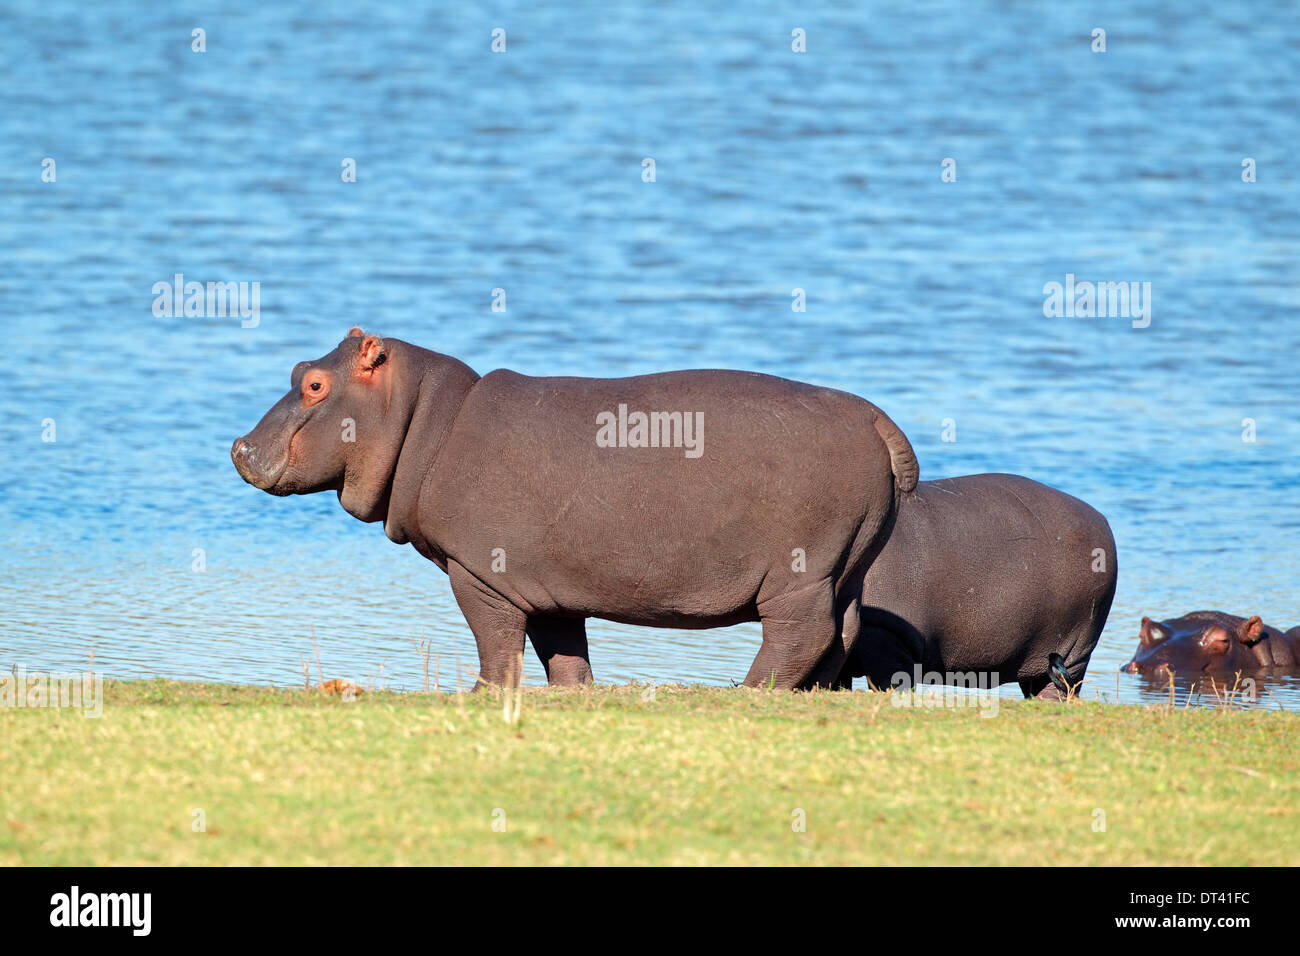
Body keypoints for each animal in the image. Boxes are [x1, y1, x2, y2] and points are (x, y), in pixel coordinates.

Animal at [232, 329, 919, 690]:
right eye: (299, 366)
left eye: (315, 384)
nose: (238, 446)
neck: (427, 417)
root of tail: (876, 419)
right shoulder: (545, 583)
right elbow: (560, 648)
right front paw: (575, 694)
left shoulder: (479, 573)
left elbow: (494, 639)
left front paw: (481, 693)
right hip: (846, 566)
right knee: (842, 630)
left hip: (800, 573)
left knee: (802, 632)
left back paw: (747, 692)